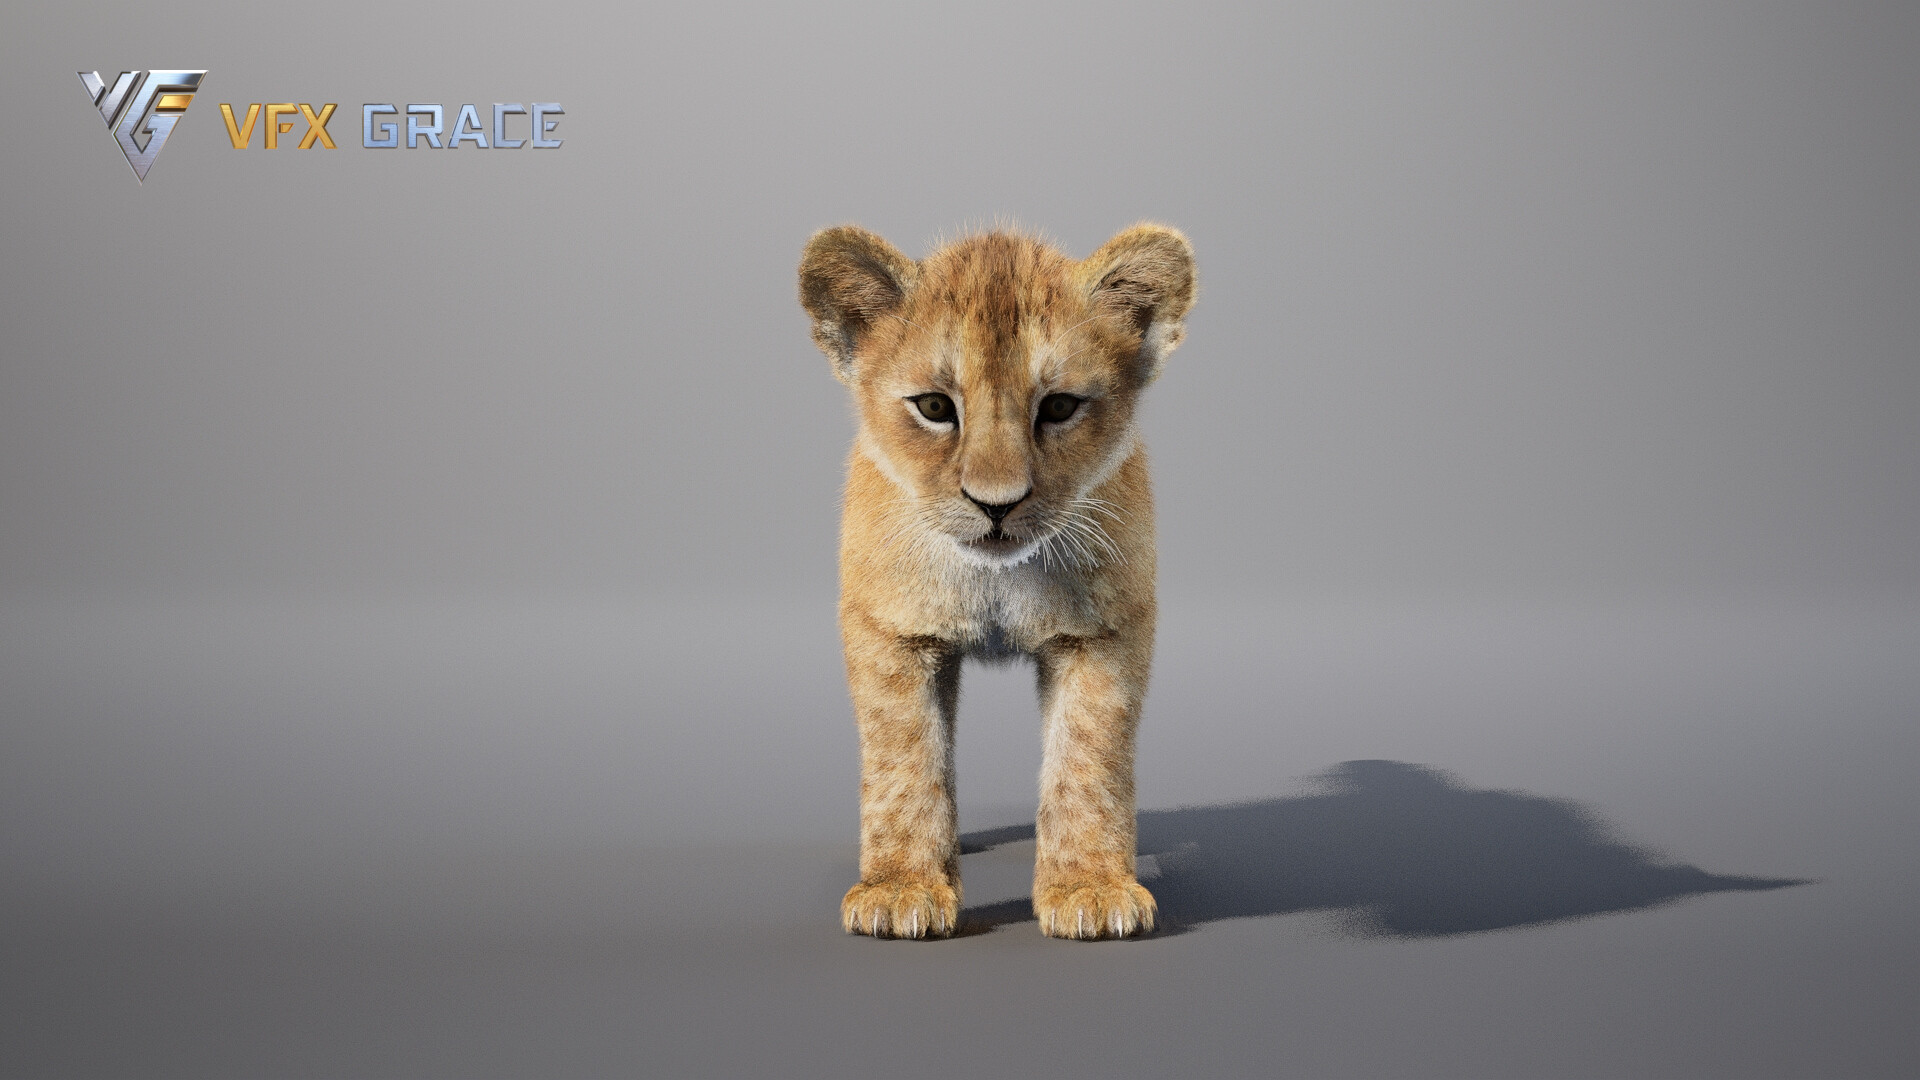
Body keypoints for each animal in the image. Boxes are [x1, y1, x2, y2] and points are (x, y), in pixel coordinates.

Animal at [797, 223, 1196, 939]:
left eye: (1060, 406)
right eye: (934, 407)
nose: (996, 504)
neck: (996, 580)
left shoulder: (1103, 631)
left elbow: (1088, 759)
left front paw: (1090, 889)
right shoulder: (892, 632)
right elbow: (906, 760)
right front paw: (901, 890)